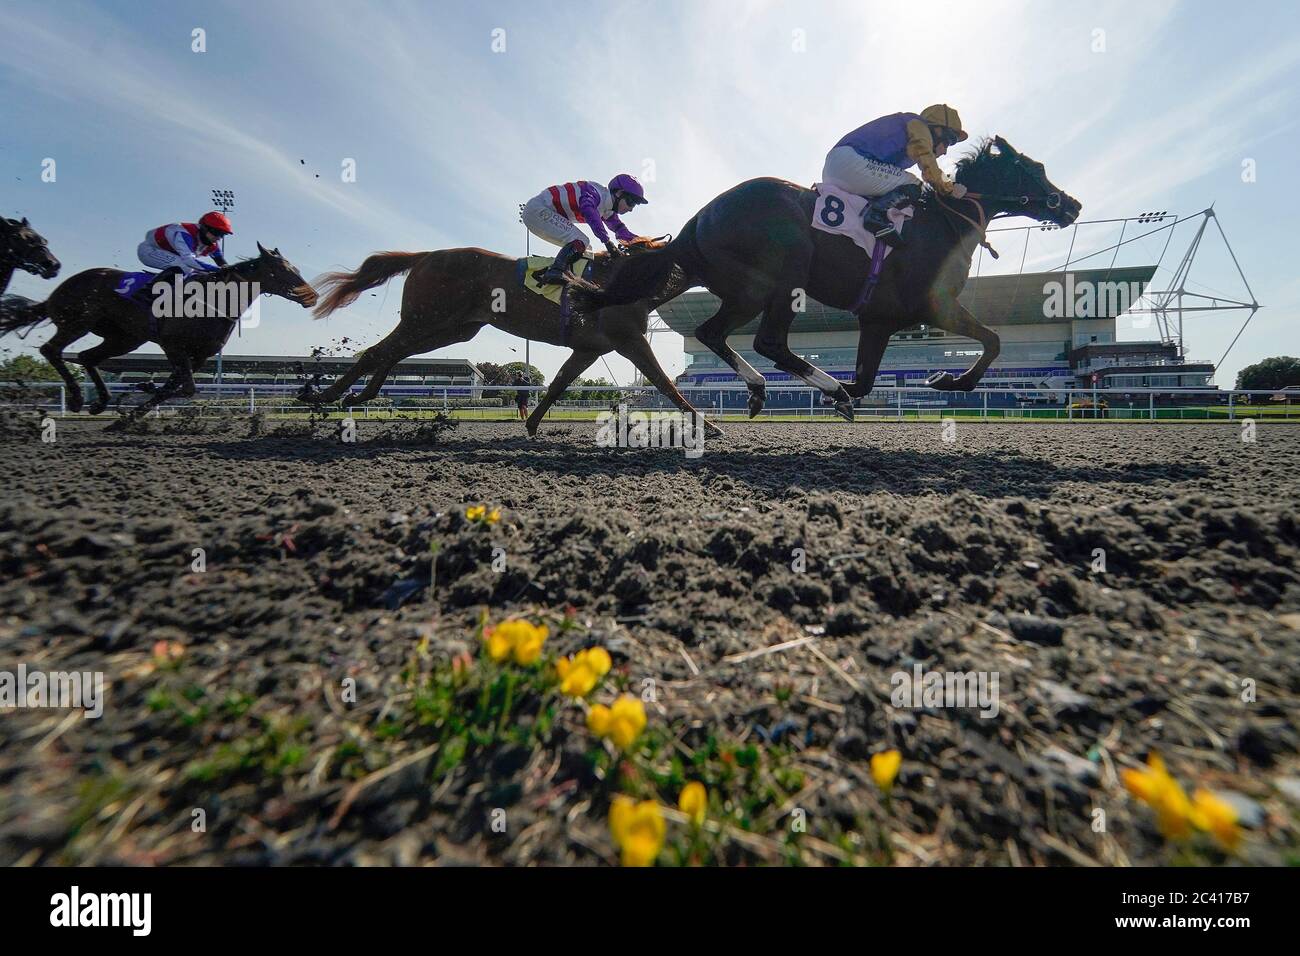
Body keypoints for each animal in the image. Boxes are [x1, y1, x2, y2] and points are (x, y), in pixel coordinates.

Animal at [0, 243, 317, 417]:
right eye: (282, 270)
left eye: (296, 268)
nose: (311, 295)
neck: (214, 299)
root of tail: (61, 287)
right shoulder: (172, 344)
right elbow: (185, 387)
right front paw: (142, 390)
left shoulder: (201, 354)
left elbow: (176, 386)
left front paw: (131, 412)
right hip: (79, 321)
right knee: (51, 350)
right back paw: (79, 398)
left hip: (124, 337)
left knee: (87, 357)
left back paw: (100, 402)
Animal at [305, 238, 723, 438]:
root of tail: (424, 255)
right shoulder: (630, 339)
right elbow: (666, 384)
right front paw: (710, 426)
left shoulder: (590, 348)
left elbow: (557, 384)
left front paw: (532, 424)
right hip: (427, 318)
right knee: (378, 351)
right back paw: (325, 394)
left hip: (452, 328)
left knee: (393, 353)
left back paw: (359, 395)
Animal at [572, 136, 1082, 420]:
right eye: (1035, 169)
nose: (1073, 204)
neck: (942, 223)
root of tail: (699, 218)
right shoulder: (933, 305)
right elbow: (993, 340)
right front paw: (948, 380)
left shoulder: (878, 320)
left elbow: (867, 379)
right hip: (779, 278)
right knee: (767, 342)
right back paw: (816, 387)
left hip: (740, 291)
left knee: (712, 332)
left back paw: (762, 389)